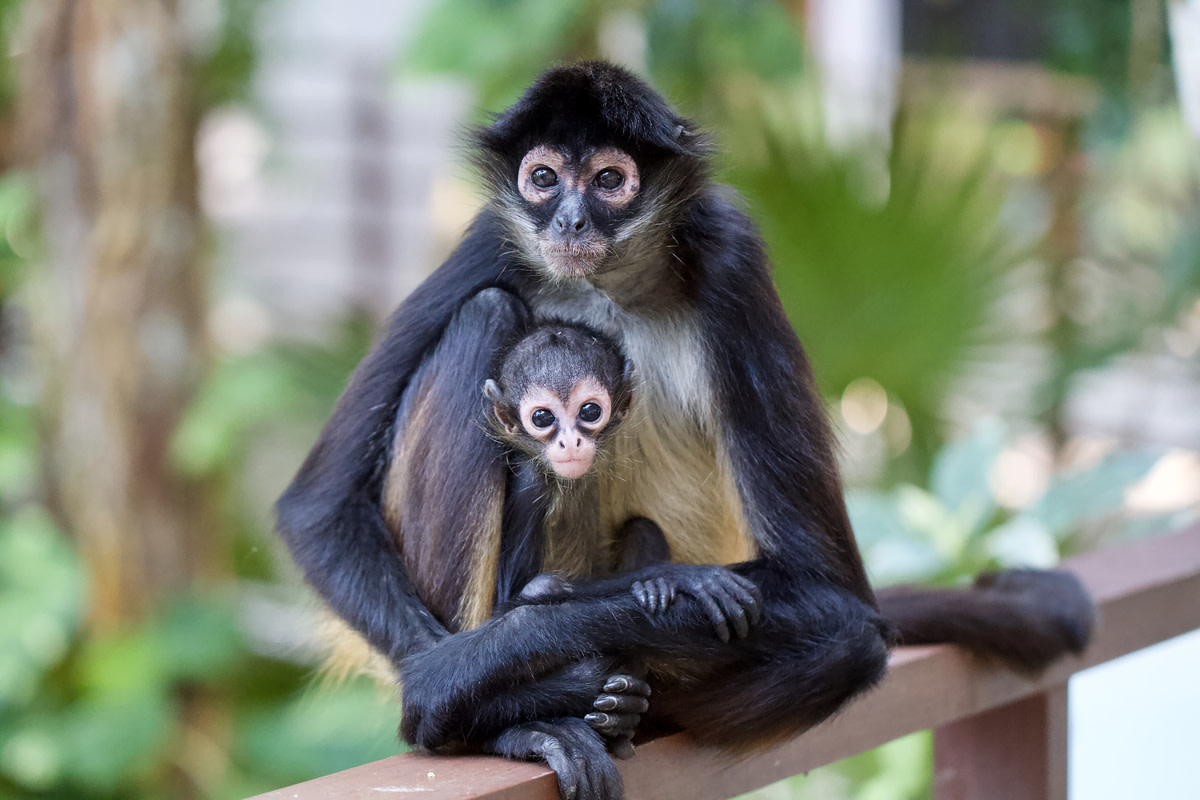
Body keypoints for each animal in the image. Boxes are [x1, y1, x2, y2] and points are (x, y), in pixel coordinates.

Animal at [276, 62, 1094, 800]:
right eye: (543, 178)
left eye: (609, 180)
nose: (569, 220)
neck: (608, 287)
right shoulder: (488, 238)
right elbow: (318, 508)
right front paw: (486, 694)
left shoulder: (731, 249)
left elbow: (830, 592)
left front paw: (479, 671)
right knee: (486, 310)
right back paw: (526, 720)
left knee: (851, 642)